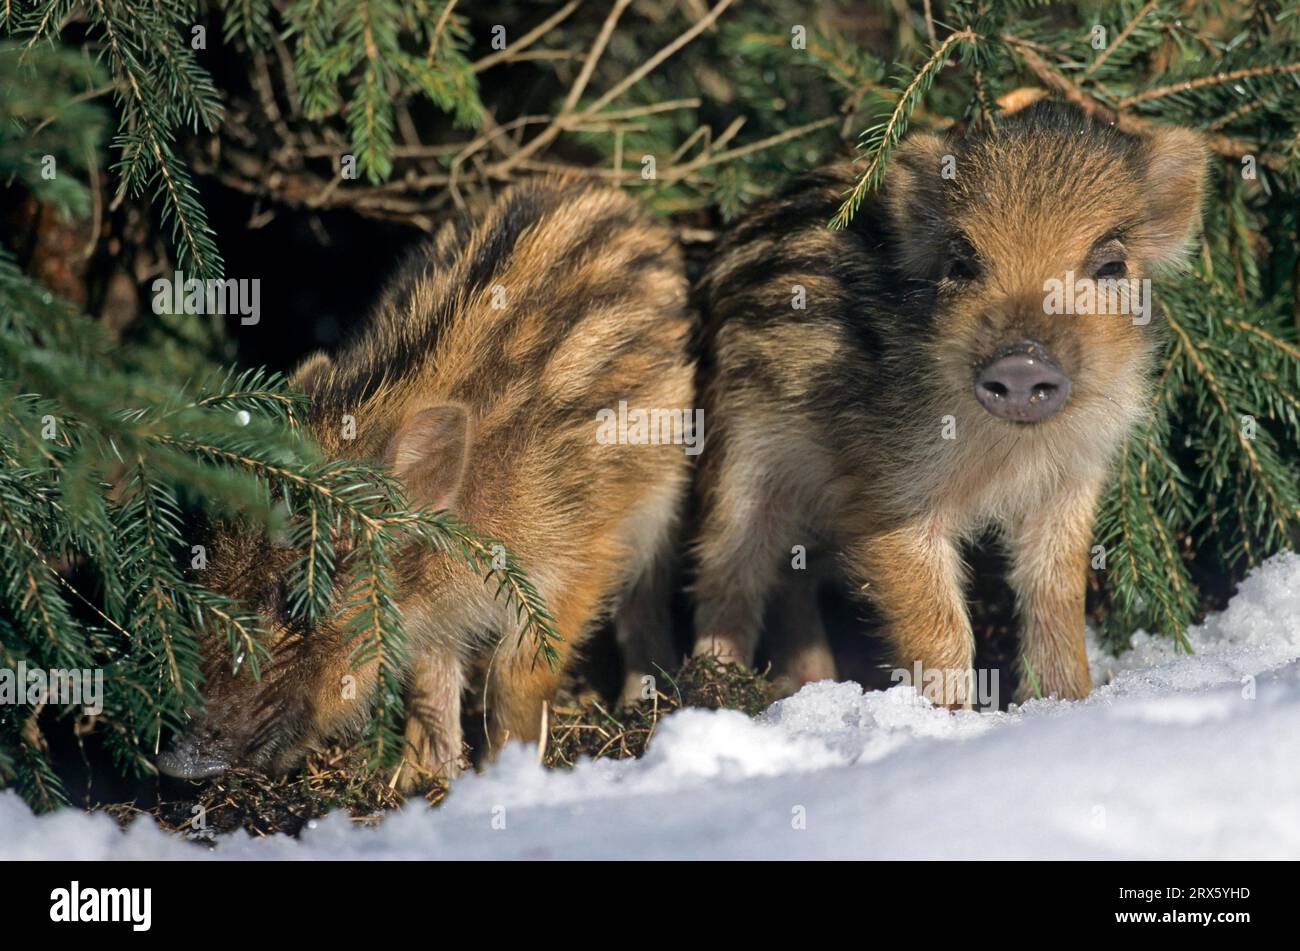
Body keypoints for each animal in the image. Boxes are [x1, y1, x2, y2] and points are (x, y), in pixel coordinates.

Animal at [157, 178, 693, 787]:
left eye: (297, 601)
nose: (174, 760)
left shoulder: (575, 557)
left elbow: (518, 673)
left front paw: (505, 771)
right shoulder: (427, 613)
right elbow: (428, 679)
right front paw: (424, 779)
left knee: (646, 599)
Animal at [689, 102, 1207, 705]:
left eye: (1110, 268)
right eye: (962, 264)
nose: (1020, 361)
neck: (1011, 450)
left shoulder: (1071, 480)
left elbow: (1055, 595)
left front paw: (1065, 701)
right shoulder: (893, 489)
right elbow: (941, 627)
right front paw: (947, 718)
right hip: (739, 464)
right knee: (728, 577)